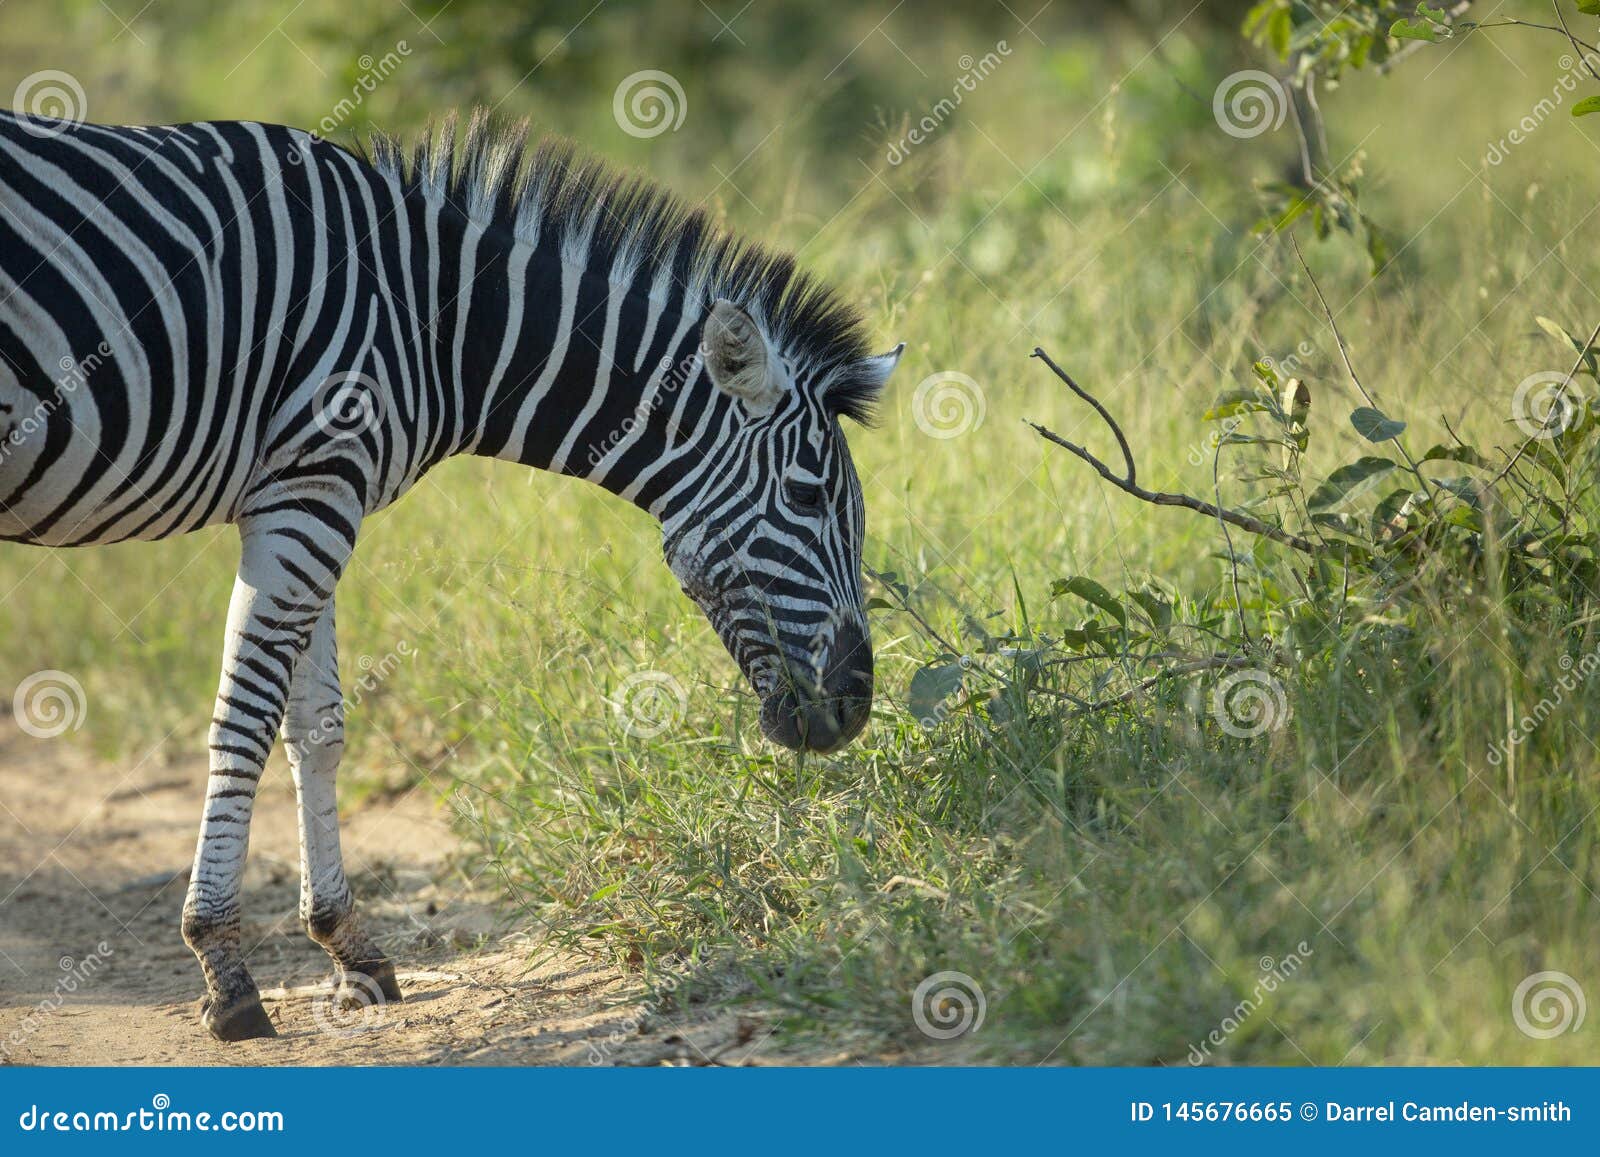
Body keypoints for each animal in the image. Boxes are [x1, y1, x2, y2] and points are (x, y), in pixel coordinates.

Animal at [0, 108, 902, 1042]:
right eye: (807, 494)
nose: (854, 708)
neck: (433, 318)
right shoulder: (313, 486)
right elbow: (245, 724)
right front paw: (225, 969)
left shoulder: (306, 488)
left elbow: (316, 728)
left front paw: (348, 947)